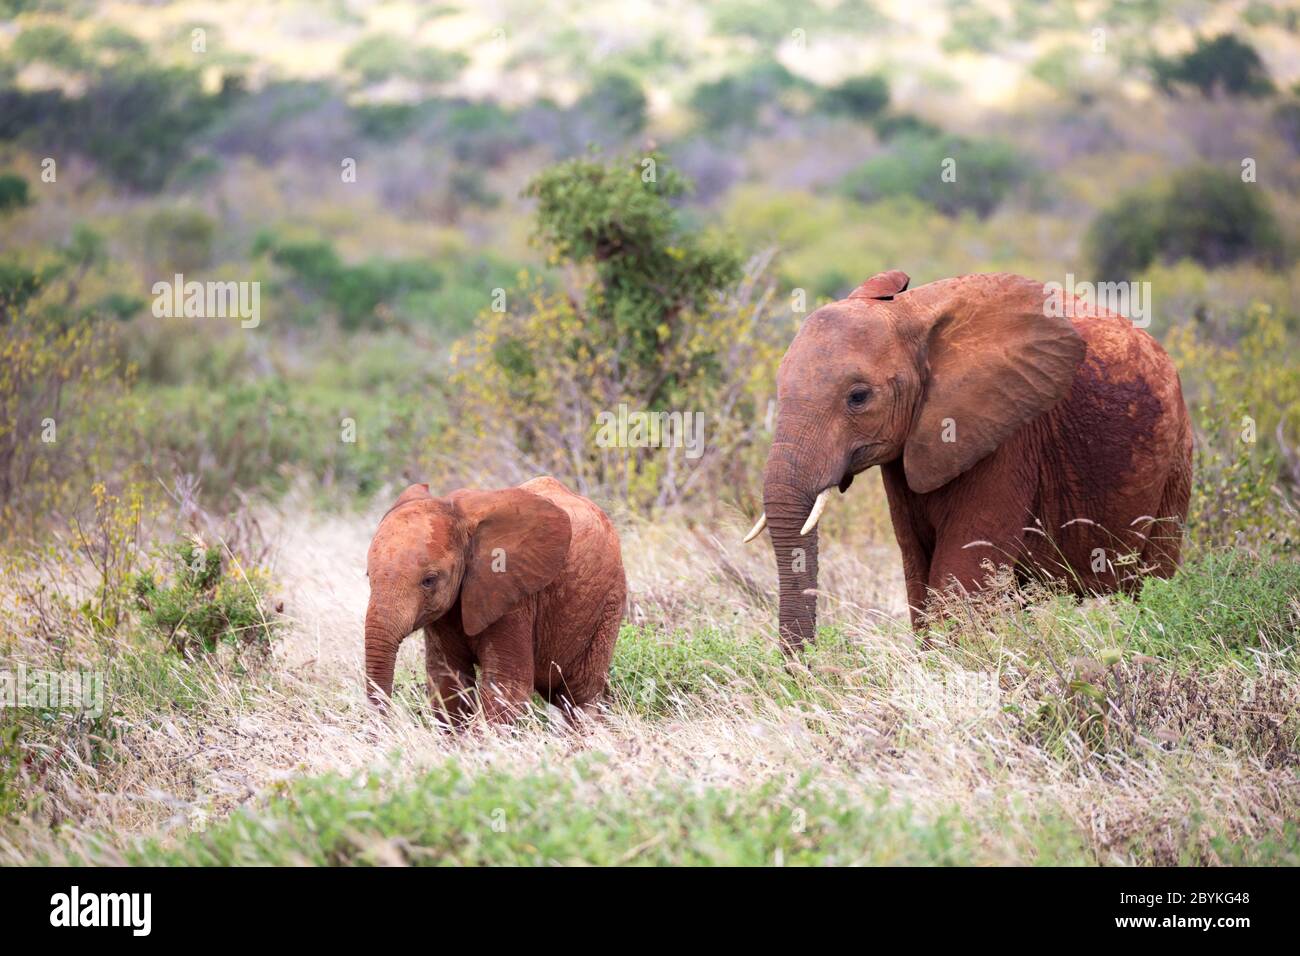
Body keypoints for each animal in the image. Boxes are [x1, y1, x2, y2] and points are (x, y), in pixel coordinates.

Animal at [364, 476, 626, 723]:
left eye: (429, 580)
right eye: (368, 576)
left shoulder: (513, 594)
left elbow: (508, 685)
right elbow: (448, 683)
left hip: (608, 604)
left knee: (579, 696)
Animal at [744, 270, 1193, 647]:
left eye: (858, 397)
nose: (805, 667)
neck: (911, 313)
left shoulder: (1008, 440)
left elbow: (958, 579)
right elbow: (918, 574)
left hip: (1177, 461)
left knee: (1152, 581)